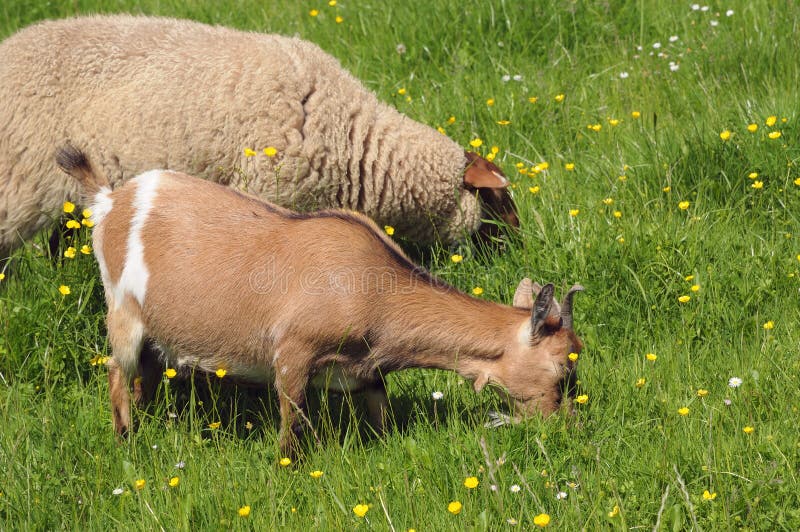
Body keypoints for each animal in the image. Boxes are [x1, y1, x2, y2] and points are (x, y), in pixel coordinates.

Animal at [56, 146, 582, 456]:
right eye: (561, 370)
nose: (567, 425)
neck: (376, 291)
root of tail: (110, 201)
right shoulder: (293, 352)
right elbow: (291, 425)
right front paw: (284, 472)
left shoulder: (366, 370)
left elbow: (381, 413)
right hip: (122, 311)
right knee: (115, 371)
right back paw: (125, 441)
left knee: (142, 372)